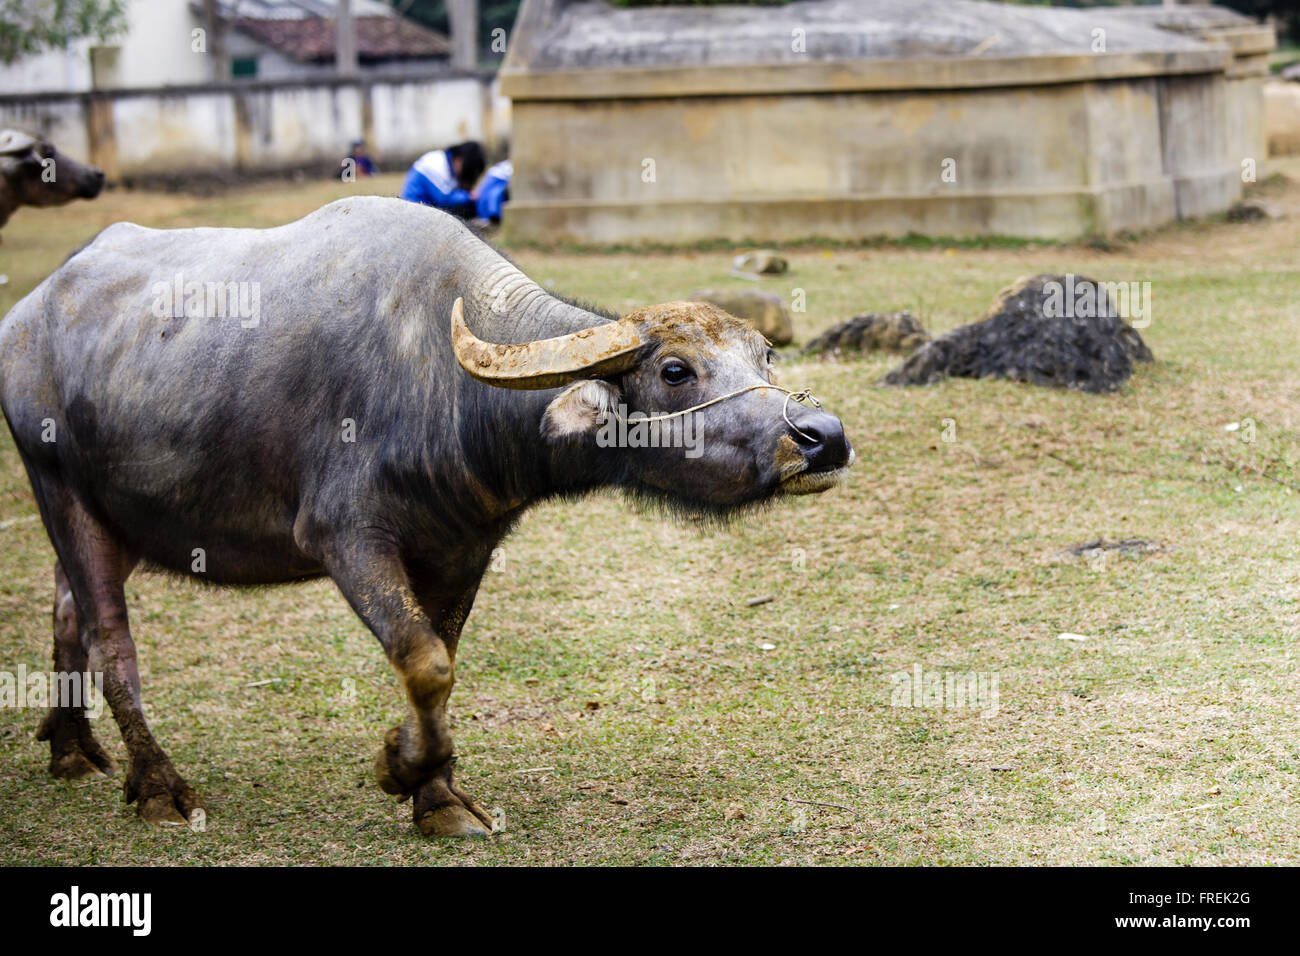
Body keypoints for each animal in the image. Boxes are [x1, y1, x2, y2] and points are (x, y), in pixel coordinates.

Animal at [0, 198, 852, 836]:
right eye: (676, 370)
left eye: (764, 359)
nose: (823, 437)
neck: (447, 388)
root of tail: (30, 313)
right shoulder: (344, 537)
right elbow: (425, 661)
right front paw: (400, 770)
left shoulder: (464, 545)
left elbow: (443, 656)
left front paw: (435, 794)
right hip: (56, 485)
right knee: (111, 636)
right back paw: (157, 786)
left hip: (121, 516)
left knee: (68, 609)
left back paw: (71, 749)